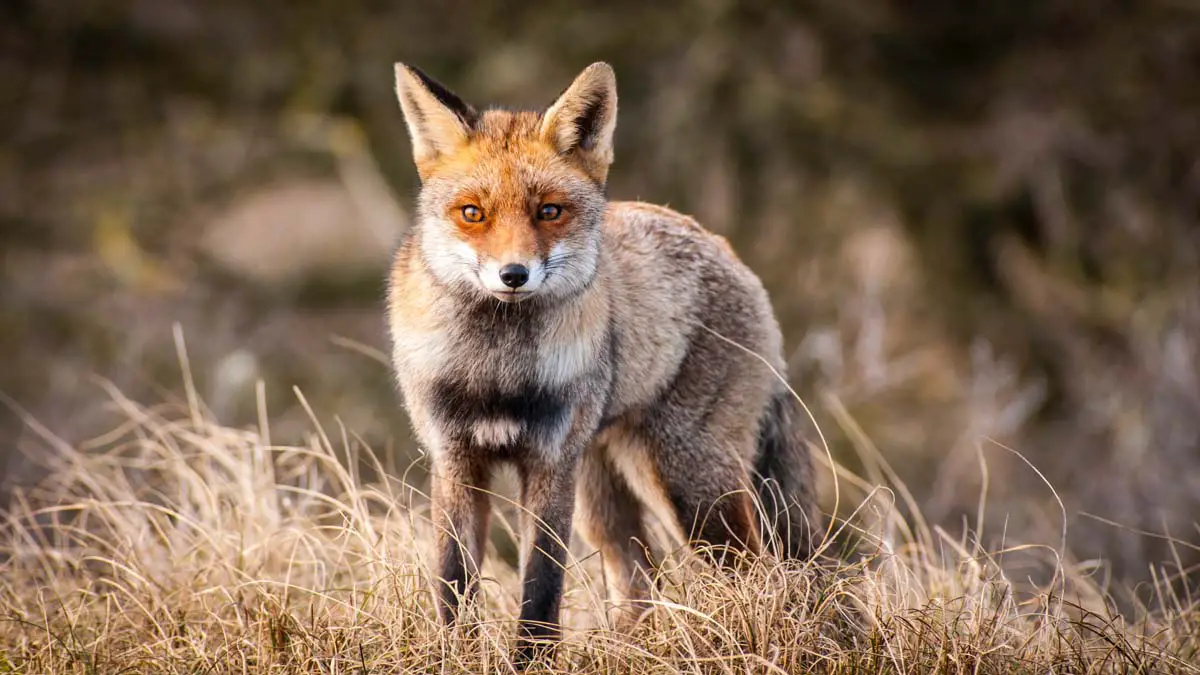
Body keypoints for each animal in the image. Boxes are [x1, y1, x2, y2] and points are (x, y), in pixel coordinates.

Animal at [386, 61, 819, 664]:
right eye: (472, 213)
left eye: (549, 212)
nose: (513, 275)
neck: (496, 372)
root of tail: (725, 249)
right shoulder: (455, 459)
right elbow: (453, 584)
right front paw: (455, 655)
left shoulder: (550, 464)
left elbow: (542, 587)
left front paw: (532, 664)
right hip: (605, 497)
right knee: (640, 582)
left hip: (686, 482)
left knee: (751, 570)